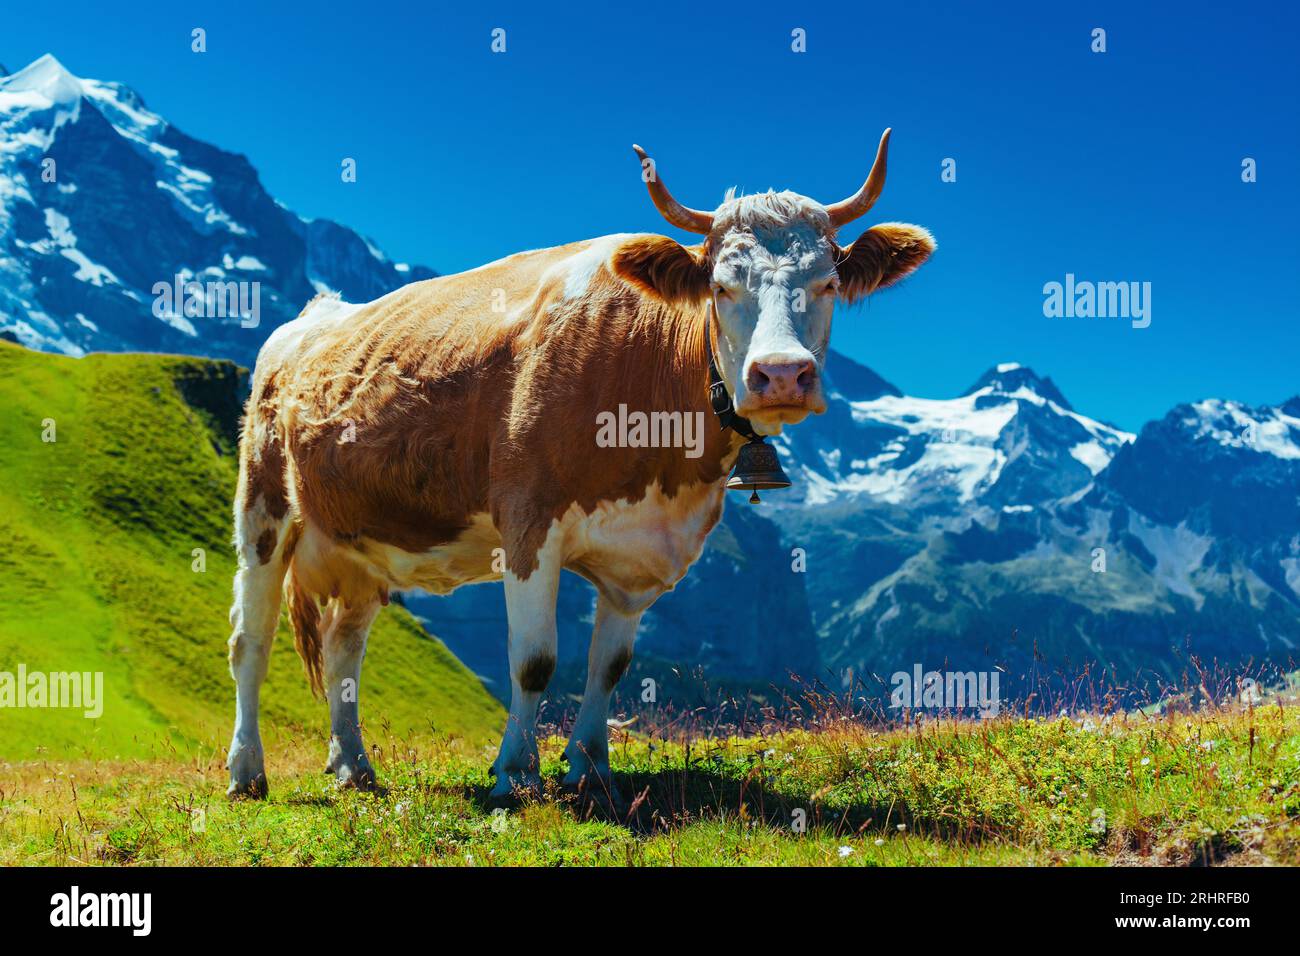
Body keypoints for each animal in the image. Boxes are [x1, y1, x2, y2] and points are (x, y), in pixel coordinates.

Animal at [225, 129, 934, 802]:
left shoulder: (639, 554)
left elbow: (609, 668)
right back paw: (247, 773)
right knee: (250, 642)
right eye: (721, 287)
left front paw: (591, 768)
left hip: (364, 544)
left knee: (344, 649)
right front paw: (515, 773)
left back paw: (354, 769)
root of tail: (312, 316)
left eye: (828, 283)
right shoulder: (528, 522)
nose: (782, 375)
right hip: (263, 512)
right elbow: (534, 661)